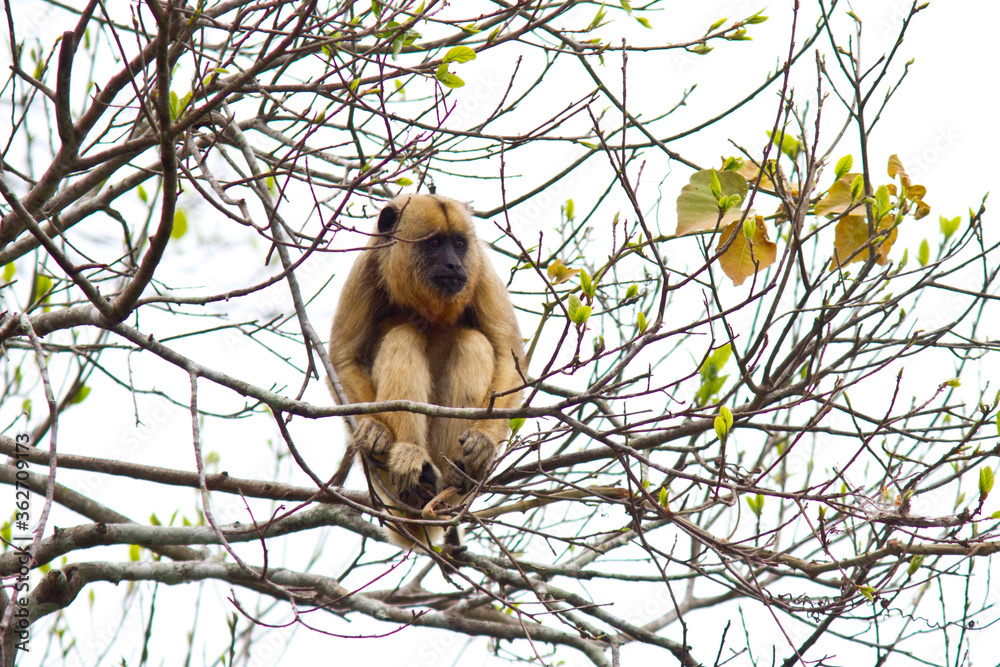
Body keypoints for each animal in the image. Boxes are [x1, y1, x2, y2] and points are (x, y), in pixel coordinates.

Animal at [328, 193, 525, 546]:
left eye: (459, 244)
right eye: (434, 243)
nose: (454, 265)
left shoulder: (481, 271)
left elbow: (508, 353)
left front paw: (483, 441)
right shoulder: (366, 267)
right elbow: (343, 360)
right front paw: (375, 429)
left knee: (474, 342)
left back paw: (453, 476)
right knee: (402, 337)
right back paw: (412, 463)